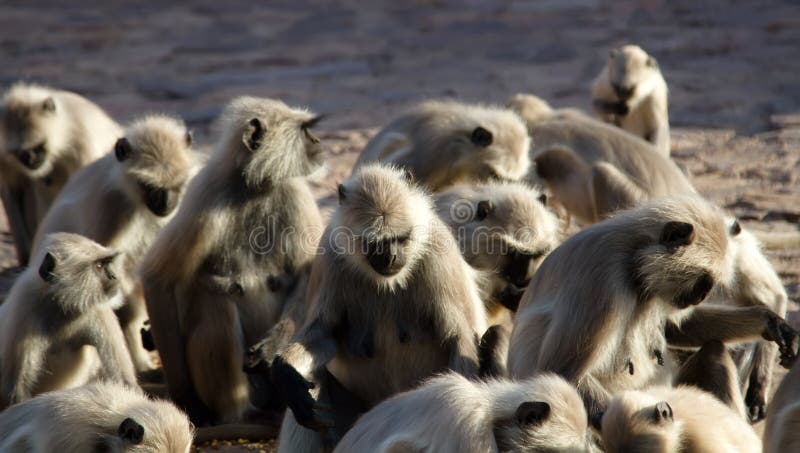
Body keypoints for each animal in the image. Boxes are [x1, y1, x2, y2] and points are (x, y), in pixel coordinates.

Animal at [0, 232, 137, 408]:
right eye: (99, 266)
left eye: (107, 264)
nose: (114, 276)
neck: (62, 307)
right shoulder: (25, 304)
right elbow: (15, 390)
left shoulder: (98, 310)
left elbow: (125, 382)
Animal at [139, 96, 324, 424]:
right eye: (305, 131)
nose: (317, 141)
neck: (255, 188)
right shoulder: (206, 194)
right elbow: (158, 277)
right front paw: (187, 401)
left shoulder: (296, 193)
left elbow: (307, 274)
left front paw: (272, 347)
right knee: (217, 301)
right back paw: (240, 414)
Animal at [269, 164, 488, 452]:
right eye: (375, 244)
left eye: (401, 238)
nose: (391, 257)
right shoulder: (330, 255)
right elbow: (323, 335)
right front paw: (284, 372)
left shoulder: (439, 252)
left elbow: (459, 336)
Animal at [506, 196, 799, 420]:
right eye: (704, 282)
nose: (701, 296)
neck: (631, 258)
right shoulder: (599, 279)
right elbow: (561, 372)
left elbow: (676, 328)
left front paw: (768, 321)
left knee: (714, 351)